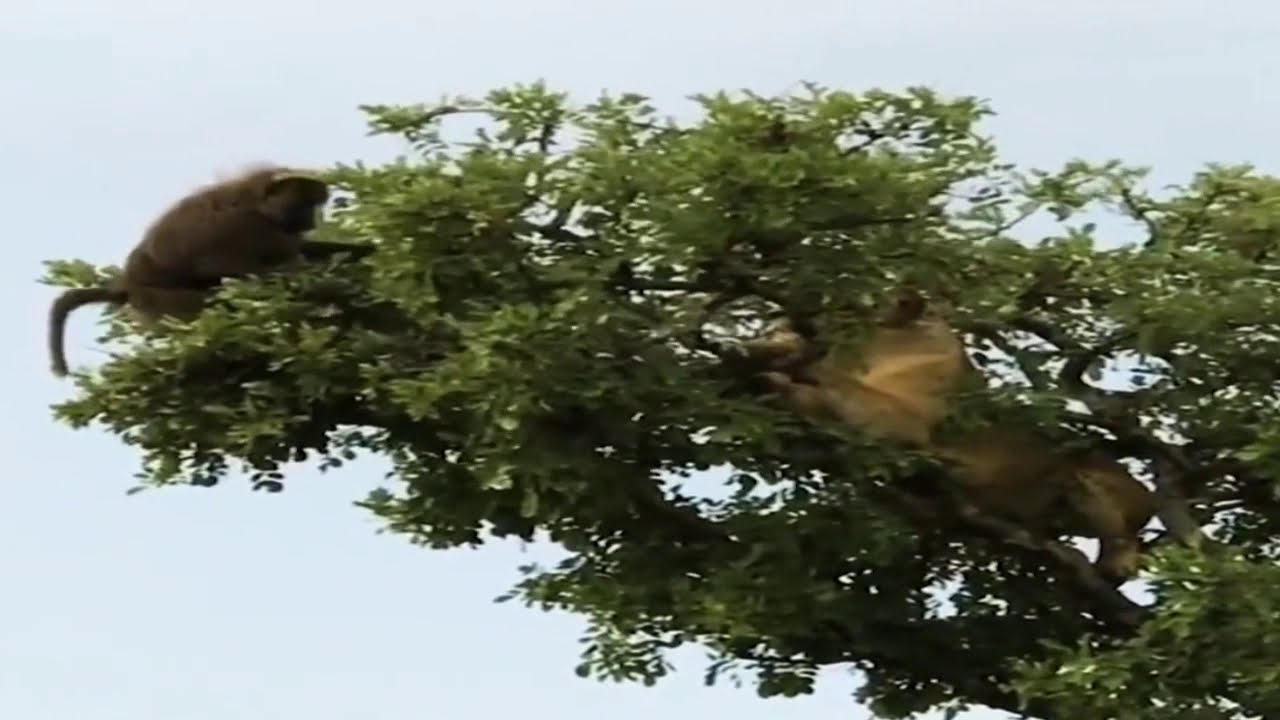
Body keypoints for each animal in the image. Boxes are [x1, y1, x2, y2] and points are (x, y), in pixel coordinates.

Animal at [48, 166, 374, 377]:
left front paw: (366, 251)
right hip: (159, 300)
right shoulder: (248, 227)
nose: (311, 221)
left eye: (316, 204)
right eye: (304, 203)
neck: (254, 200)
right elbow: (227, 269)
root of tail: (127, 283)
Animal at [738, 294, 1155, 584]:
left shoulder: (905, 420)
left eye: (843, 308)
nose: (780, 318)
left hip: (1089, 479)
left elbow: (840, 383)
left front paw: (781, 359)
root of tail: (1147, 496)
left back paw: (1111, 565)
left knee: (1122, 536)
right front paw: (770, 376)